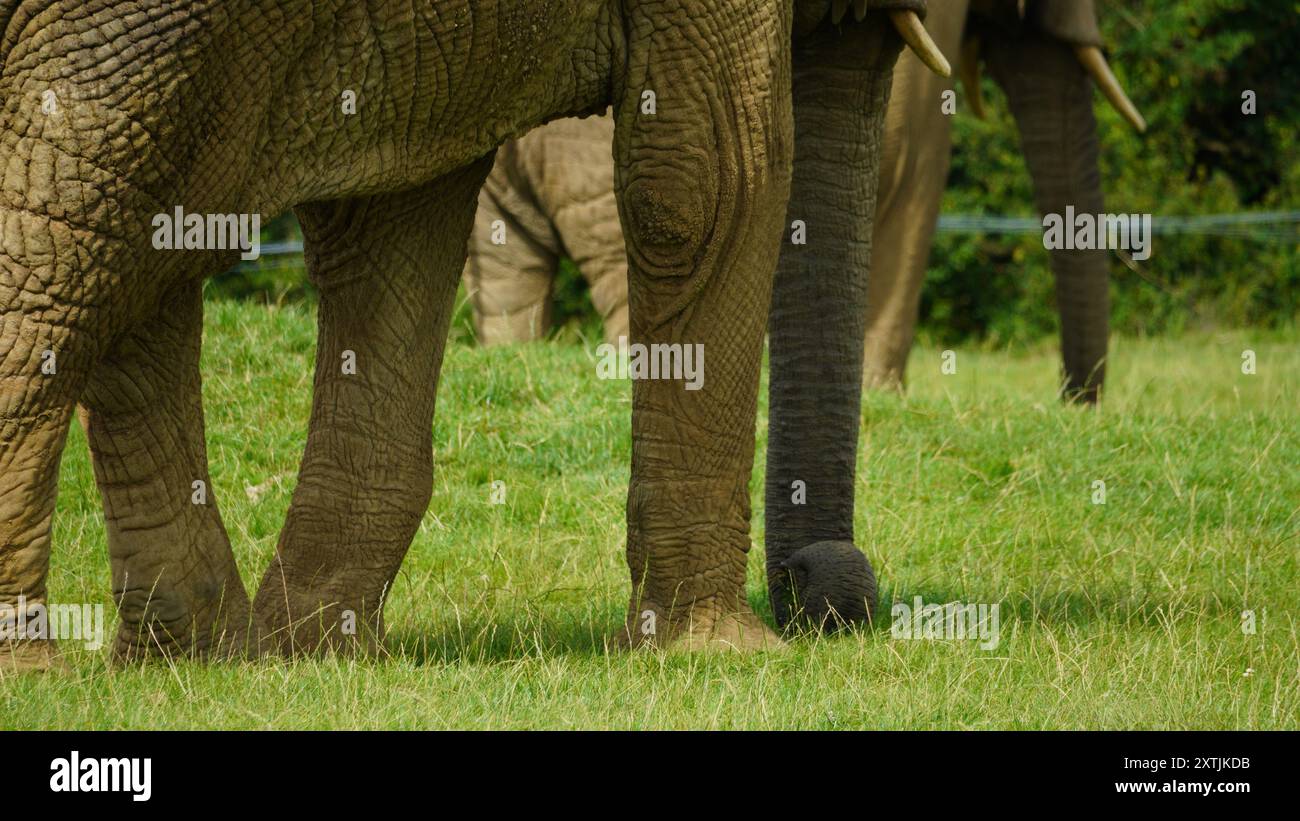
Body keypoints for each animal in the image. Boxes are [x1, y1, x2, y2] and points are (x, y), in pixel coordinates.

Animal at [0, 0, 950, 672]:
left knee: (145, 230)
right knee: (93, 208)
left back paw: (200, 652)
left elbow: (395, 214)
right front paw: (721, 653)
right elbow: (712, 182)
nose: (821, 587)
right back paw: (44, 666)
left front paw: (316, 651)